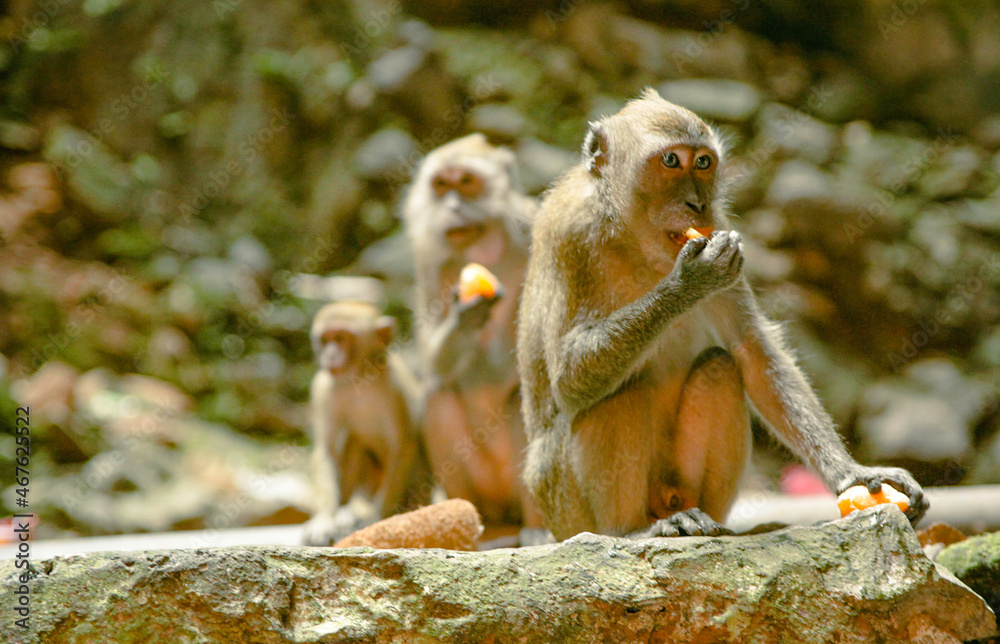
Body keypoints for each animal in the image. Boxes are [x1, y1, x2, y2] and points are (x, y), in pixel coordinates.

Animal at [301, 301, 430, 546]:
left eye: (341, 337)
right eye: (325, 340)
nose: (330, 355)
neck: (358, 378)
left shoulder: (395, 389)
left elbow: (404, 447)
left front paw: (376, 517)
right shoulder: (322, 389)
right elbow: (327, 451)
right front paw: (324, 520)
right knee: (353, 441)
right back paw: (349, 511)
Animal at [401, 133, 546, 538]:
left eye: (466, 182)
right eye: (441, 185)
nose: (452, 207)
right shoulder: (429, 260)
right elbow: (430, 357)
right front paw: (465, 318)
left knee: (519, 400)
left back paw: (535, 526)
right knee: (439, 392)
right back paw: (468, 520)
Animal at [516, 89, 929, 541]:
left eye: (702, 162)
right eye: (670, 161)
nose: (696, 203)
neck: (631, 237)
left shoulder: (719, 224)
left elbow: (750, 346)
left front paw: (851, 473)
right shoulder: (570, 235)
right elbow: (567, 379)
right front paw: (690, 282)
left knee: (720, 368)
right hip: (564, 507)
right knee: (620, 390)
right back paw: (631, 530)